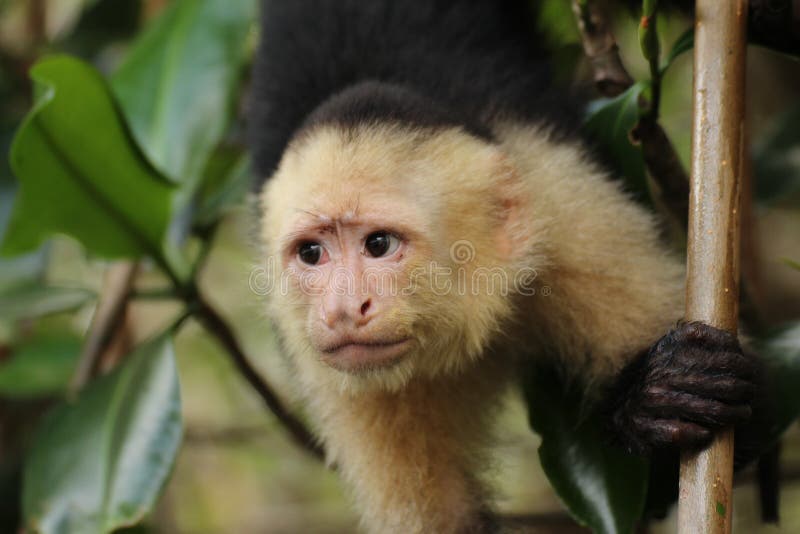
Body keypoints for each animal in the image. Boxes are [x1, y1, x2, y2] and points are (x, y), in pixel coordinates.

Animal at [248, 1, 760, 532]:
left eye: (379, 244)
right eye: (312, 253)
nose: (345, 310)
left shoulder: (564, 205)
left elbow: (745, 427)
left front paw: (659, 392)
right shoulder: (343, 376)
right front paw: (655, 404)